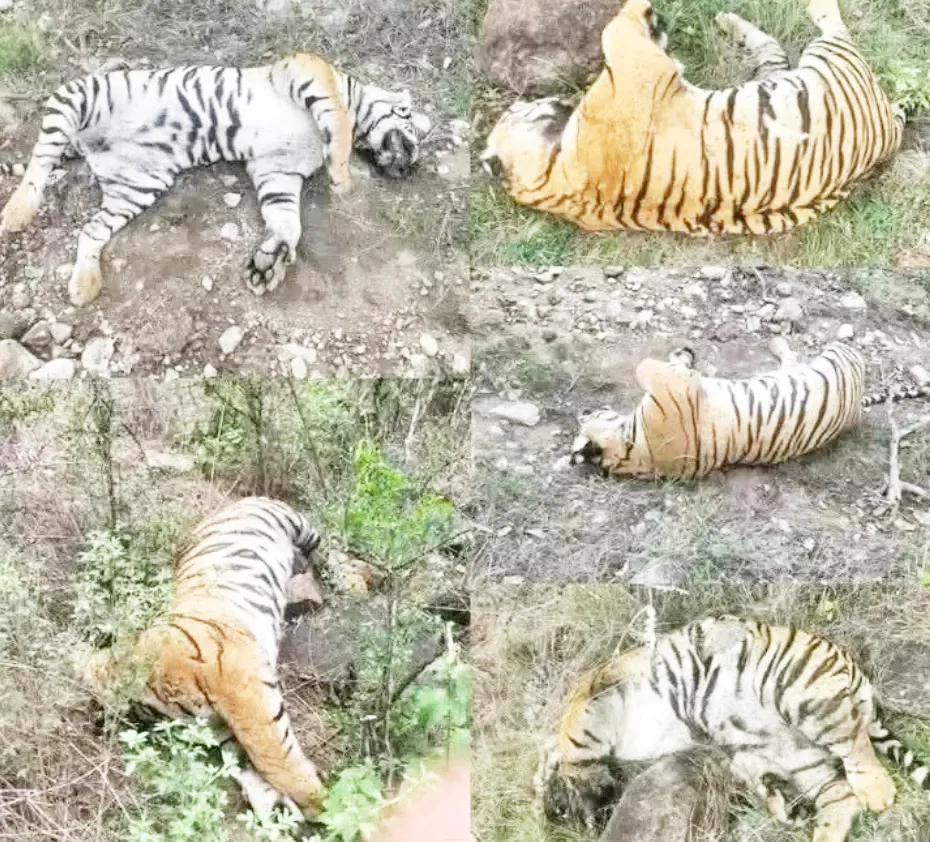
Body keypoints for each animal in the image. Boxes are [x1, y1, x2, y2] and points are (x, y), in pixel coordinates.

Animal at [0, 53, 432, 306]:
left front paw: (269, 264)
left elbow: (287, 221)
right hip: (81, 95)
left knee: (90, 231)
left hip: (137, 186)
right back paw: (17, 212)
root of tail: (89, 146)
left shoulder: (278, 171)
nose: (411, 164)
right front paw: (342, 176)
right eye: (411, 121)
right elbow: (337, 118)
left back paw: (84, 286)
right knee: (41, 158)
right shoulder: (306, 69)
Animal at [80, 496, 326, 816]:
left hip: (293, 522)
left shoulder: (244, 695)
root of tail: (238, 501)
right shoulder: (221, 725)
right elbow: (251, 766)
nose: (100, 723)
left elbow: (274, 757)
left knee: (318, 540)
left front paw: (323, 806)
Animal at [480, 0, 904, 235]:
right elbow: (615, 28)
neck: (556, 181)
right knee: (830, 23)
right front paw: (643, 13)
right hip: (827, 59)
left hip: (776, 75)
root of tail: (889, 132)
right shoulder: (638, 67)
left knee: (771, 47)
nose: (550, 99)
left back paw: (726, 18)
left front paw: (654, 23)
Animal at [537, 616, 930, 842]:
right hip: (794, 755)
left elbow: (572, 735)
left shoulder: (594, 691)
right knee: (840, 795)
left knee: (855, 742)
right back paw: (804, 820)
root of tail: (853, 667)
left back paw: (877, 792)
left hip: (801, 693)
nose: (567, 823)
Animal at [570, 338, 875, 479]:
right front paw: (683, 357)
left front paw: (684, 355)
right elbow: (646, 365)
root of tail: (857, 409)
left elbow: (651, 365)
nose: (582, 411)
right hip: (838, 353)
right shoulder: (676, 386)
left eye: (590, 416)